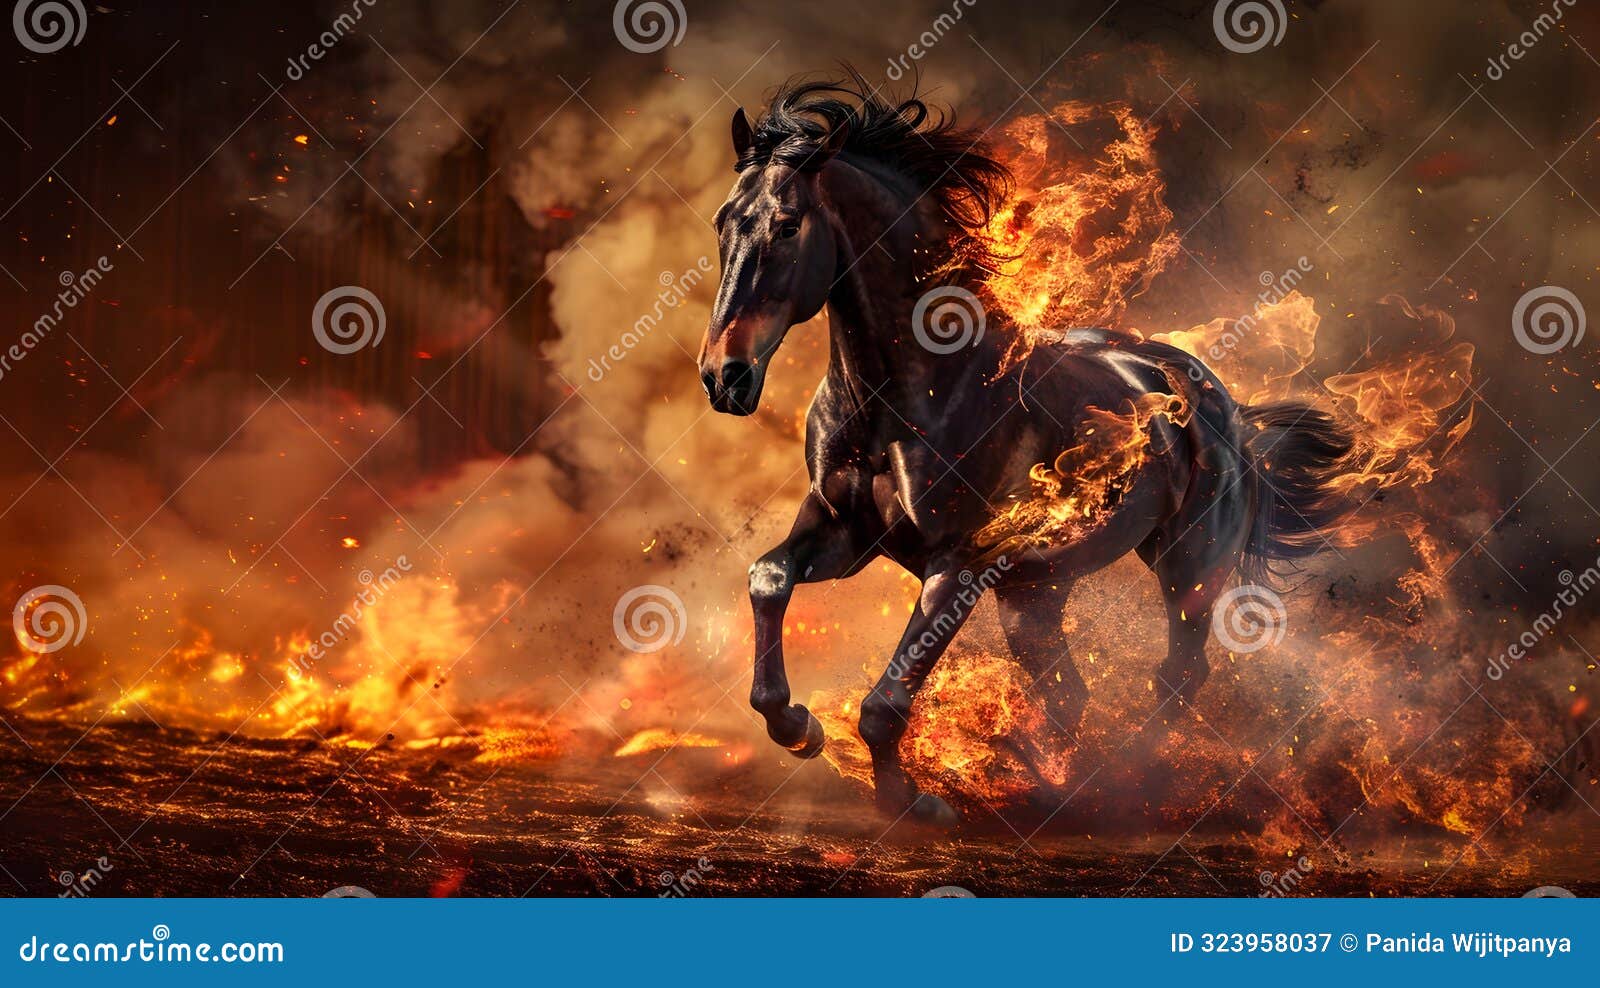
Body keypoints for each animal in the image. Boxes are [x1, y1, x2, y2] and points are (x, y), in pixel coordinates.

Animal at [696, 75, 1355, 827]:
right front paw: (797, 727)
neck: (910, 393)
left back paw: (1115, 782)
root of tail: (1226, 410)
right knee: (1072, 693)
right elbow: (768, 578)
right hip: (1035, 594)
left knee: (1178, 676)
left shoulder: (959, 564)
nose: (724, 376)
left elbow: (885, 705)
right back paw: (1051, 781)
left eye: (786, 225)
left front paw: (911, 802)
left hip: (1189, 567)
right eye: (723, 221)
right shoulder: (843, 532)